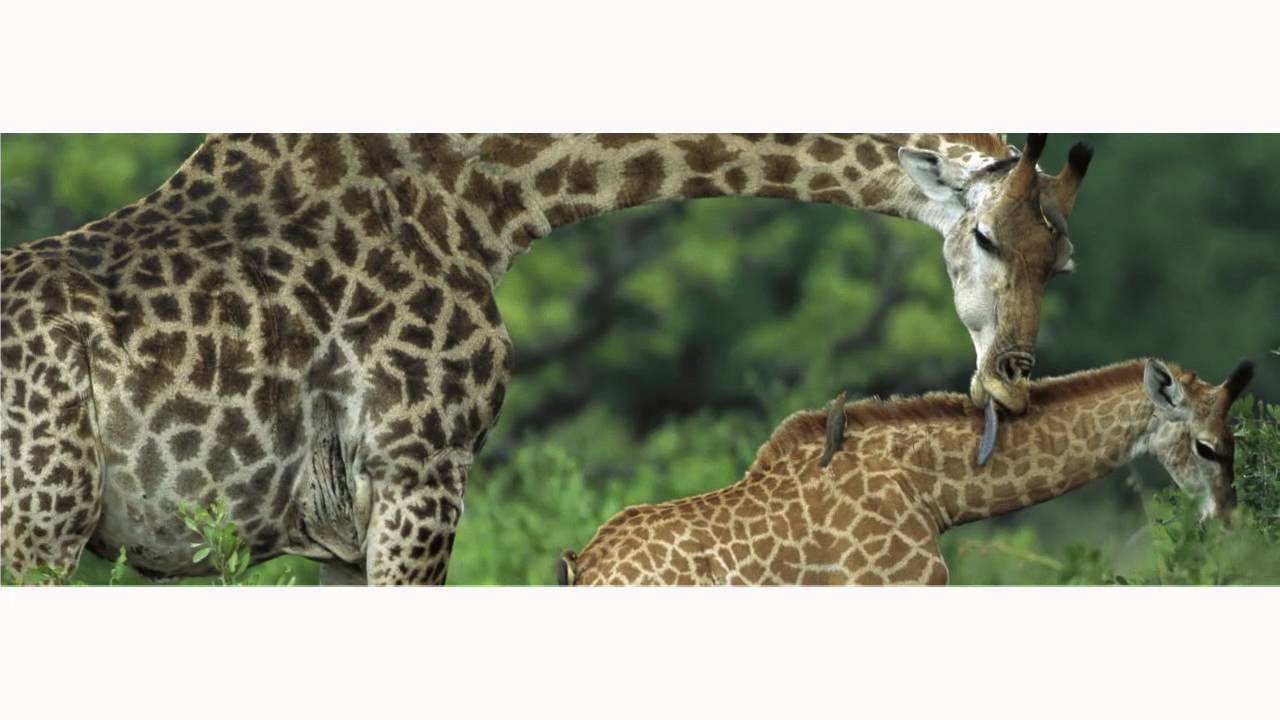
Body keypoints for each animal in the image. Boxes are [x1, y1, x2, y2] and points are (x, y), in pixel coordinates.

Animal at [0, 133, 1091, 585]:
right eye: (984, 238)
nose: (1011, 376)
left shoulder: (348, 524)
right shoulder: (419, 473)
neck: (483, 201)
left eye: (1067, 258)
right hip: (39, 523)